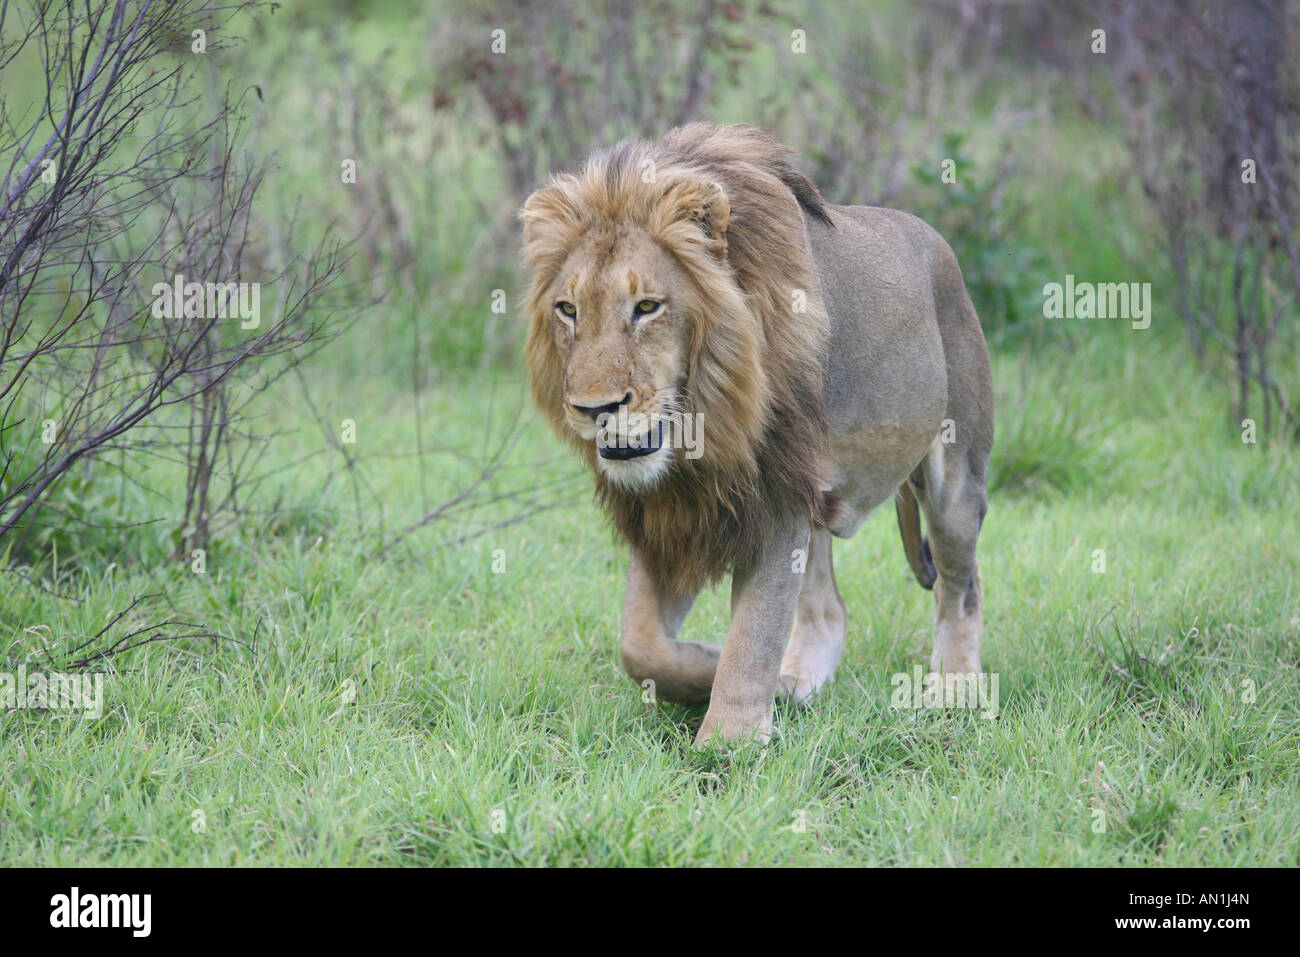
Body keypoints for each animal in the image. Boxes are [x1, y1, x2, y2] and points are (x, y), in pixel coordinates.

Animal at [521, 123, 994, 746]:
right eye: (568, 309)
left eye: (646, 307)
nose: (593, 408)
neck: (704, 423)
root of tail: (942, 248)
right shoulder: (677, 509)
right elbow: (641, 645)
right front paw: (706, 669)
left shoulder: (774, 495)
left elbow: (753, 633)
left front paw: (730, 740)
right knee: (828, 609)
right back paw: (796, 682)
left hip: (954, 478)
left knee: (960, 586)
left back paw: (954, 688)